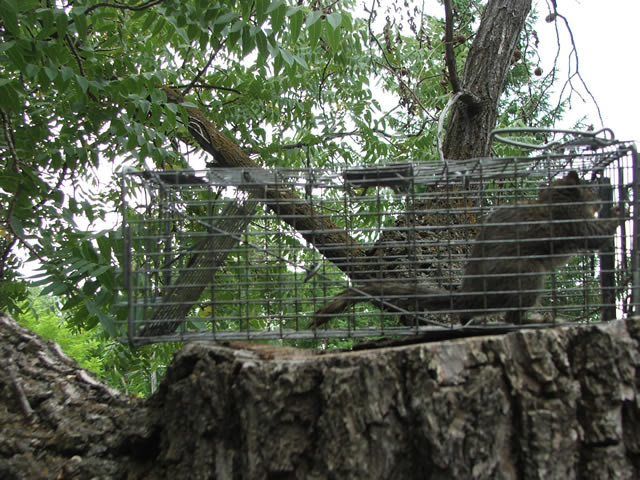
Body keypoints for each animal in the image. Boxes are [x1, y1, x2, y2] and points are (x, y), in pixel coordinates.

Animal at [314, 171, 624, 325]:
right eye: (589, 188)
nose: (599, 192)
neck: (554, 200)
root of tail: (469, 294)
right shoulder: (573, 224)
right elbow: (596, 236)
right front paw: (621, 211)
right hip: (528, 274)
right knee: (511, 314)